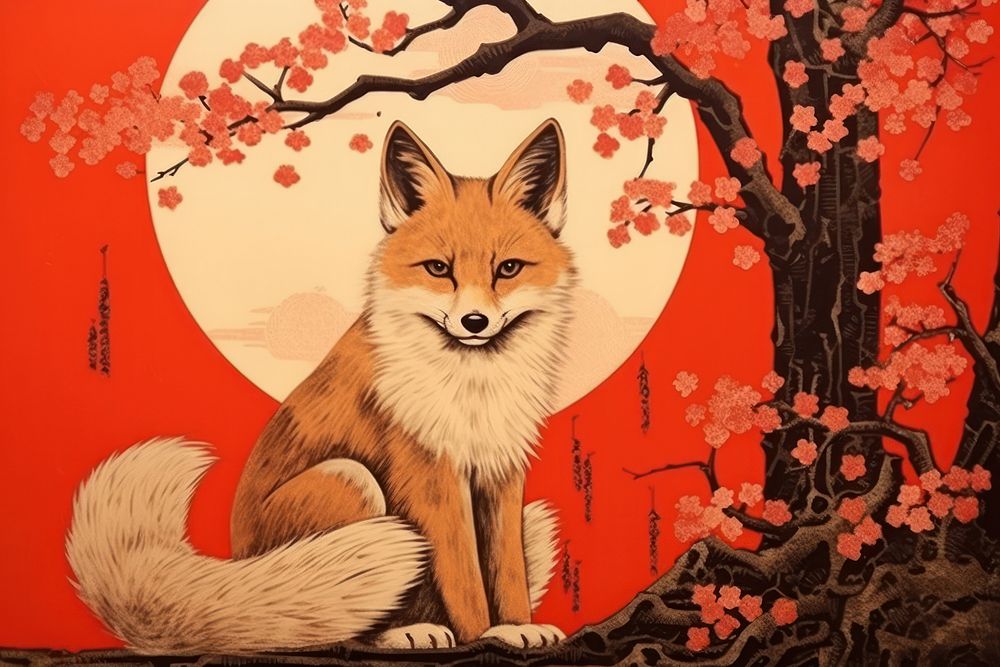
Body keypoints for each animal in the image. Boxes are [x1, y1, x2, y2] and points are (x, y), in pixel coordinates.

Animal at [66, 118, 577, 654]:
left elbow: (508, 568)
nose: (474, 322)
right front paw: (481, 637)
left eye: (508, 269)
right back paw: (403, 631)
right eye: (439, 269)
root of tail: (241, 563)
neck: (474, 388)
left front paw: (515, 625)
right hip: (352, 481)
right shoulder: (430, 476)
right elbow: (465, 578)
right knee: (343, 620)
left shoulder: (501, 473)